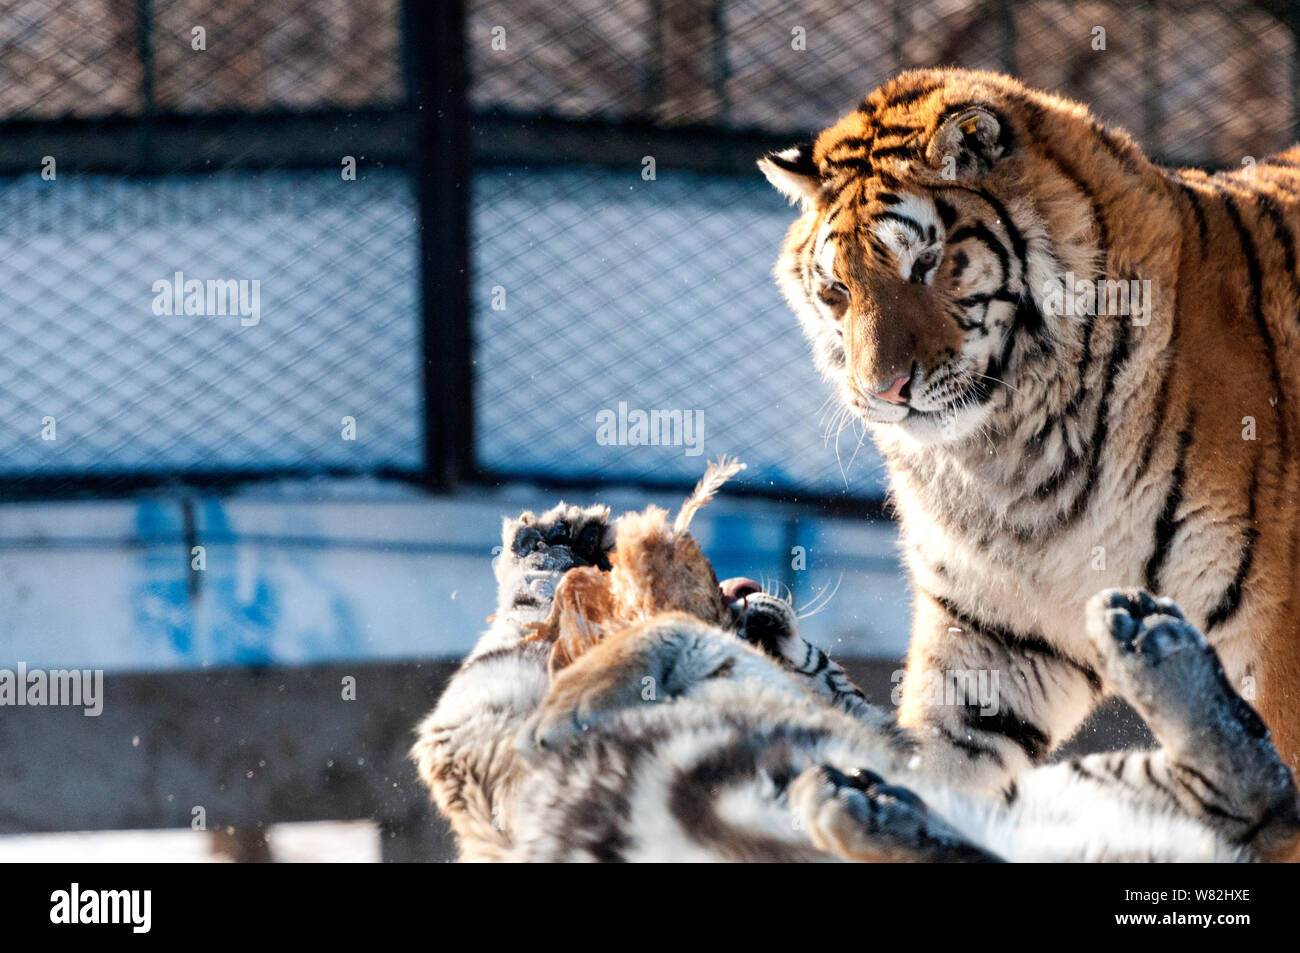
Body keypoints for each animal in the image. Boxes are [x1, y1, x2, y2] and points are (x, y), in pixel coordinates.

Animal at [411, 500, 1299, 861]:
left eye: (835, 662)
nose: (749, 586)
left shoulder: (477, 722)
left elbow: (639, 631)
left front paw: (567, 701)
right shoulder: (472, 741)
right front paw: (562, 538)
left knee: (1269, 790)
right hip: (1060, 791)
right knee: (1257, 794)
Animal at [758, 68, 1300, 813]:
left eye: (927, 262)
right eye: (837, 289)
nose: (882, 390)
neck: (1015, 458)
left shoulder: (1278, 645)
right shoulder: (995, 633)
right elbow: (943, 766)